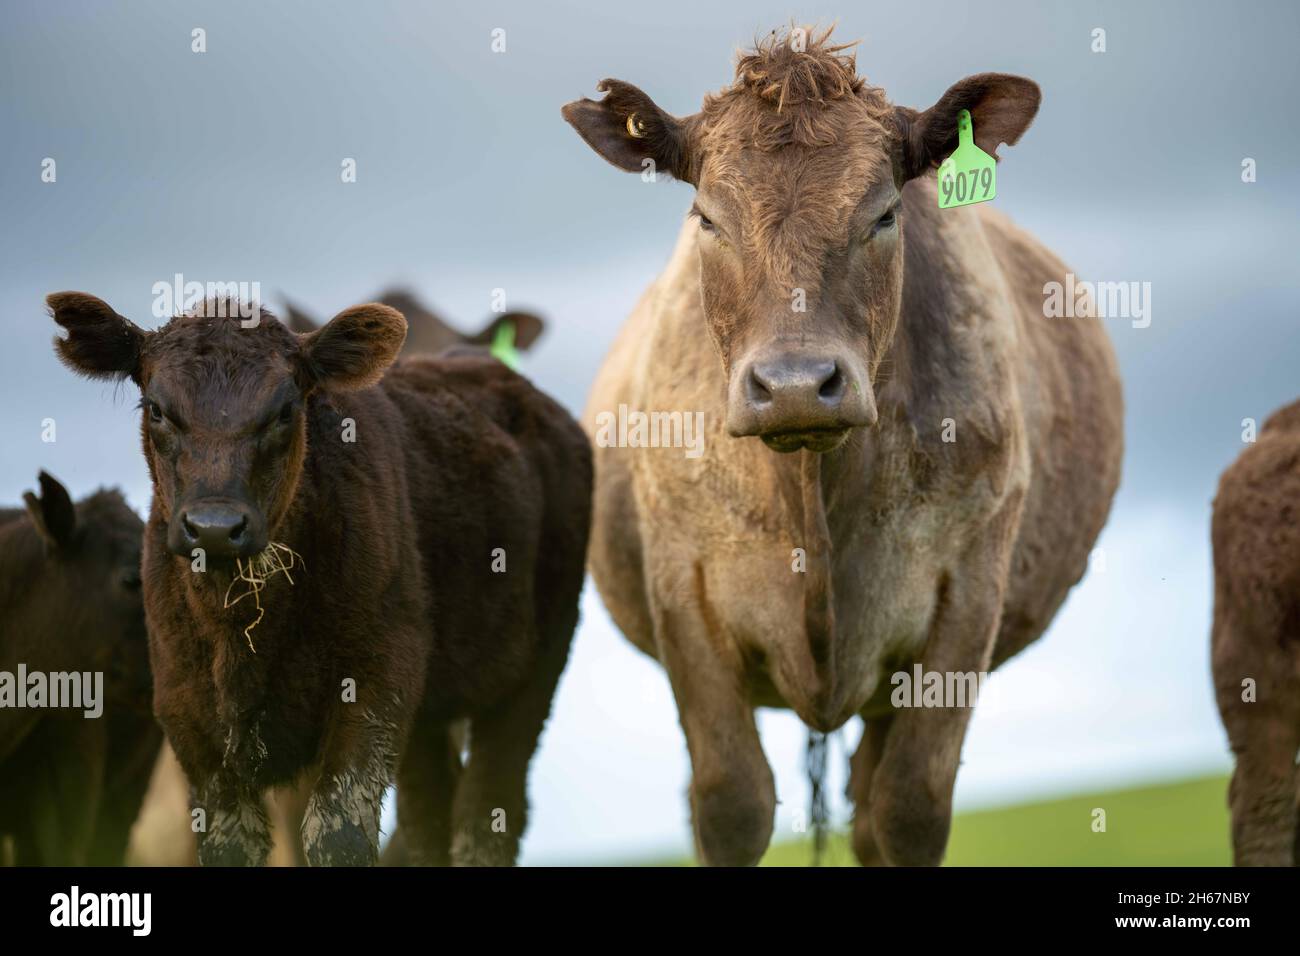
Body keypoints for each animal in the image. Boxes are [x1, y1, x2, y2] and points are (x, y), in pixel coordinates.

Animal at [47, 292, 591, 866]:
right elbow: (230, 842)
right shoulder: (184, 712)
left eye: (286, 410)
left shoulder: (377, 683)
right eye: (156, 408)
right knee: (428, 819)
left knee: (486, 816)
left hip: (534, 671)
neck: (241, 630)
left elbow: (338, 832)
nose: (215, 527)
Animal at [563, 26, 1123, 866]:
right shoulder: (686, 598)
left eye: (885, 214)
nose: (795, 384)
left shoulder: (966, 597)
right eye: (706, 218)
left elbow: (909, 808)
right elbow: (731, 805)